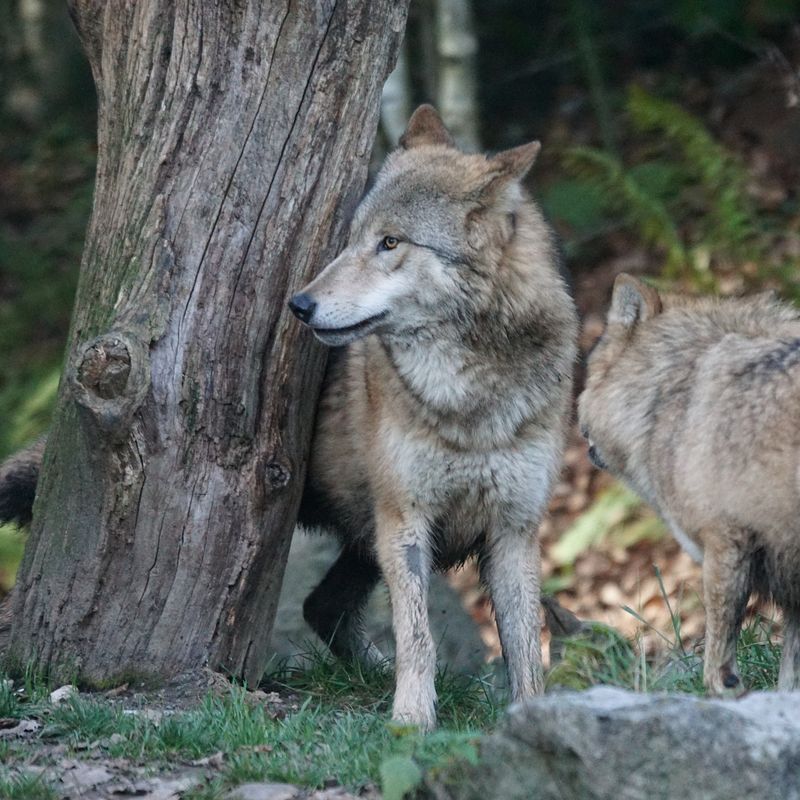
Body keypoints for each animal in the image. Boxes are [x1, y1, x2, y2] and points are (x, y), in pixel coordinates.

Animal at [288, 105, 578, 728]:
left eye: (390, 242)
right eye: (352, 240)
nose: (299, 305)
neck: (473, 399)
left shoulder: (515, 530)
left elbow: (526, 647)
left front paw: (531, 720)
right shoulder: (405, 522)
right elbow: (417, 635)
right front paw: (412, 724)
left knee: (320, 606)